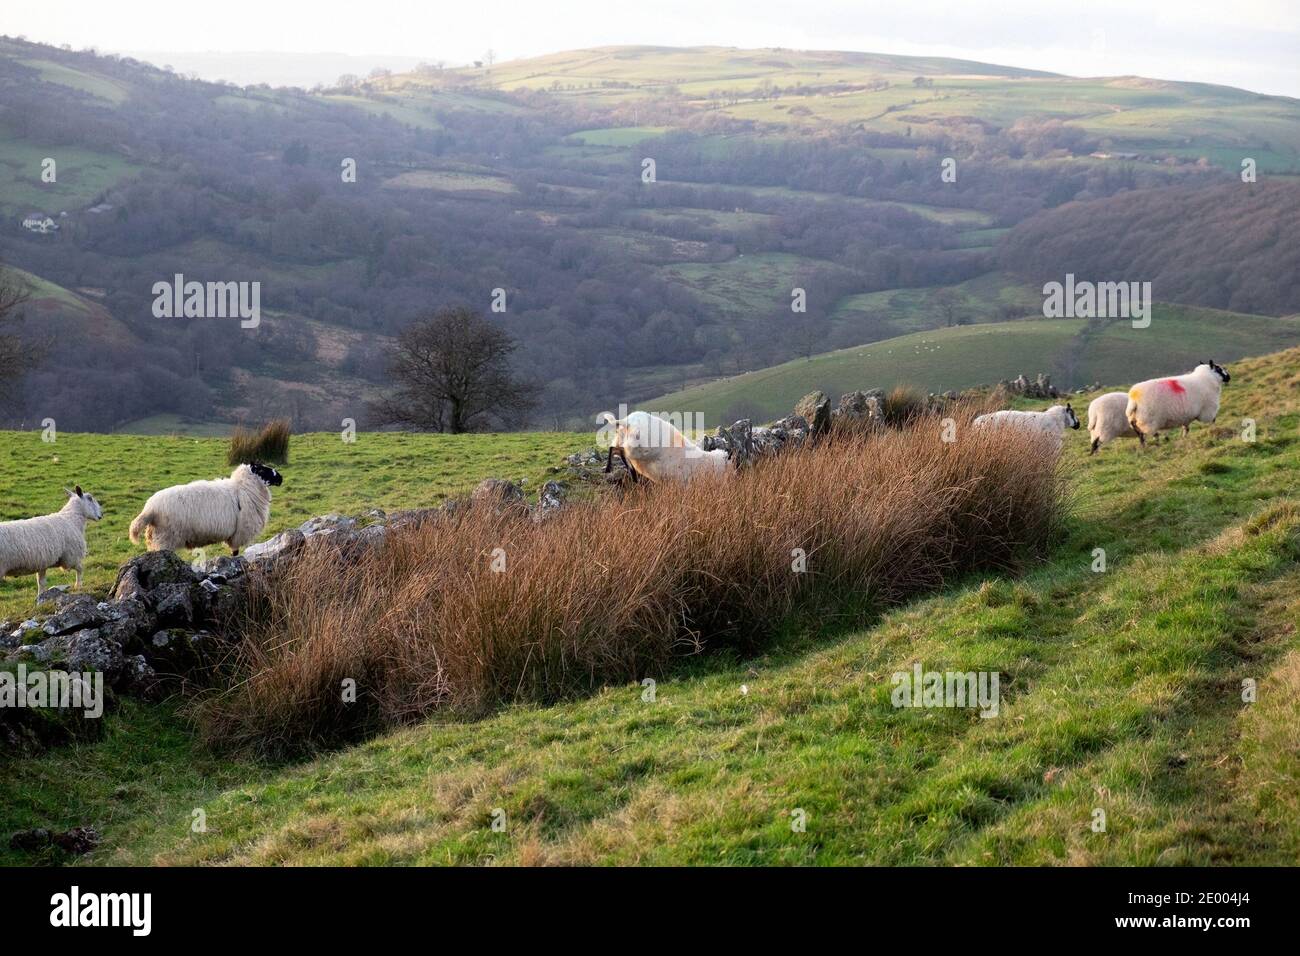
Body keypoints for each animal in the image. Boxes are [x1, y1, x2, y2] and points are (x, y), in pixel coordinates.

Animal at [129, 462, 283, 555]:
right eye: (262, 469)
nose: (280, 478)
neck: (244, 487)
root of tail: (149, 509)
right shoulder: (239, 533)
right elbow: (235, 553)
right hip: (165, 539)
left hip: (156, 539)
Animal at [598, 411, 729, 484]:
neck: (704, 463)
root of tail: (627, 421)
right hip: (637, 447)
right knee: (619, 450)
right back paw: (615, 469)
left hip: (621, 439)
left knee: (615, 449)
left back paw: (630, 474)